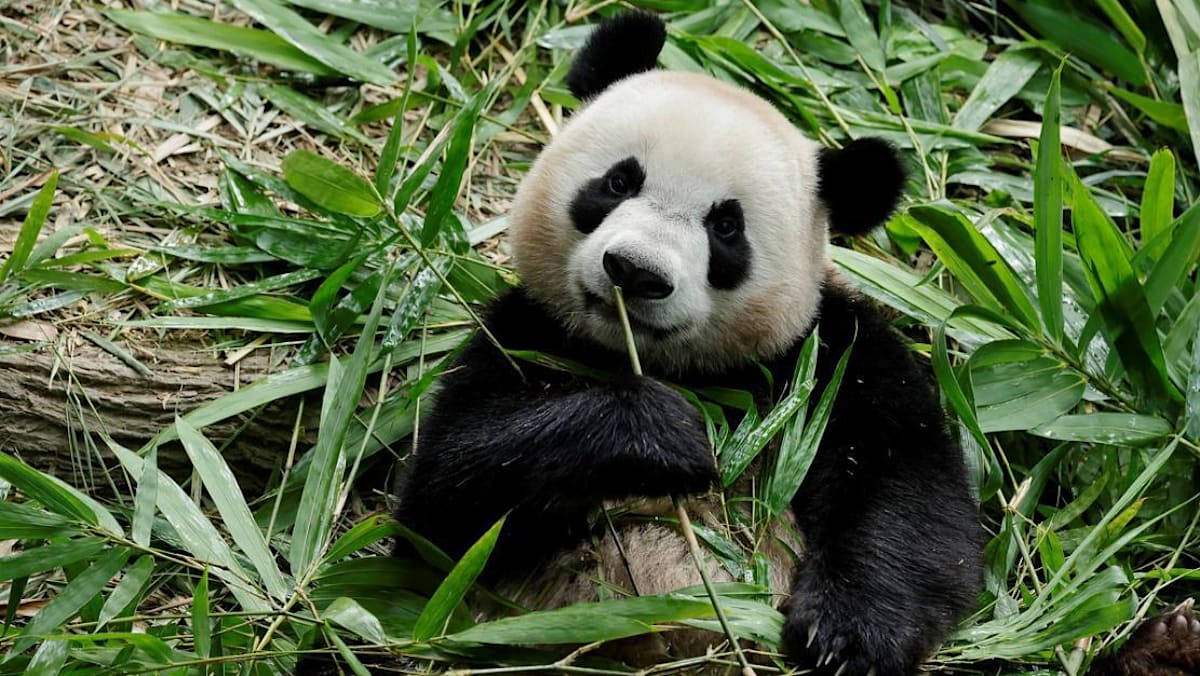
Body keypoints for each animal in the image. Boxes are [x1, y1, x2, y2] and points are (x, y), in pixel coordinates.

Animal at [392, 12, 1197, 676]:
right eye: (618, 182)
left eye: (726, 226)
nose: (636, 273)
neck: (678, 365)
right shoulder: (526, 335)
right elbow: (445, 499)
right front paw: (664, 434)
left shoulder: (833, 357)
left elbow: (913, 501)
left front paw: (846, 637)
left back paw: (1162, 649)